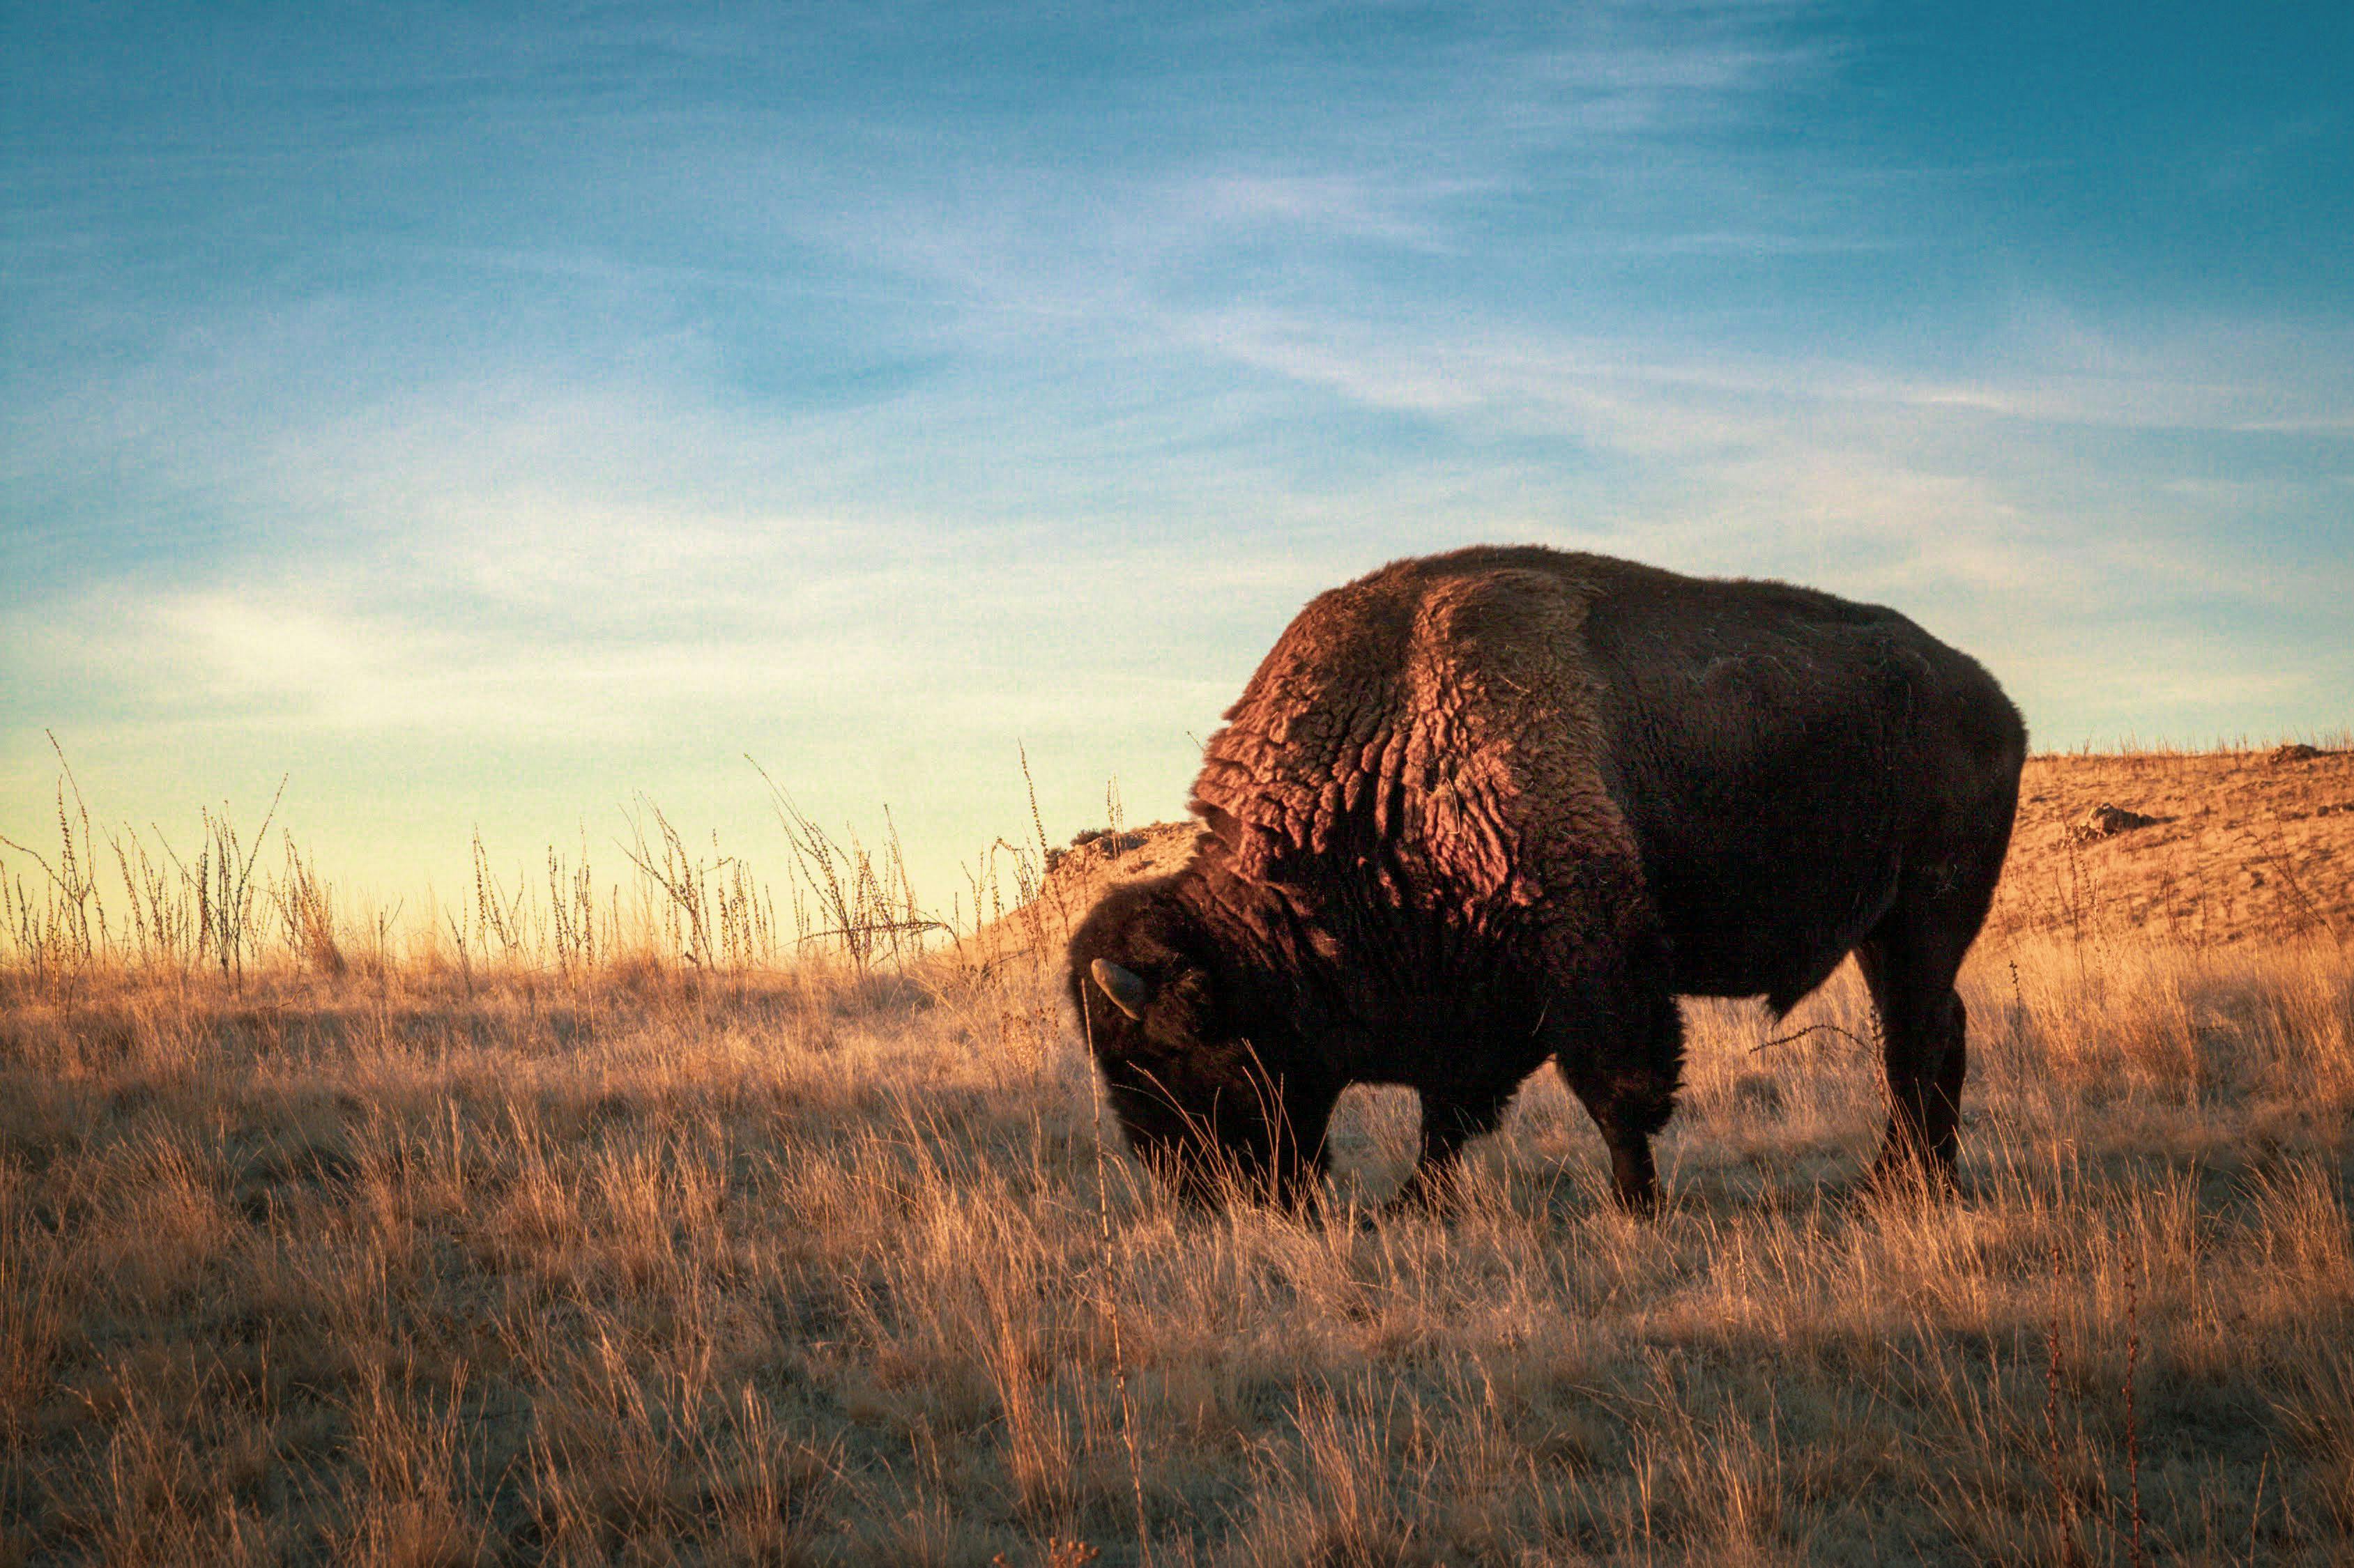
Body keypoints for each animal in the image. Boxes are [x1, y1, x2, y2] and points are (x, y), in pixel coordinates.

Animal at [1068, 546, 2025, 1211]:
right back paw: (1910, 1182)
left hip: (1926, 916)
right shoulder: (1474, 1004)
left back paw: (1899, 1185)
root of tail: (1993, 701)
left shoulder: (1593, 965)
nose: (1205, 1198)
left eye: (1169, 1059)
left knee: (1916, 1043)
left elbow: (1614, 1093)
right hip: (1884, 933)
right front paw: (1406, 1207)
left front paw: (1632, 1207)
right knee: (1935, 1035)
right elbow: (1449, 1117)